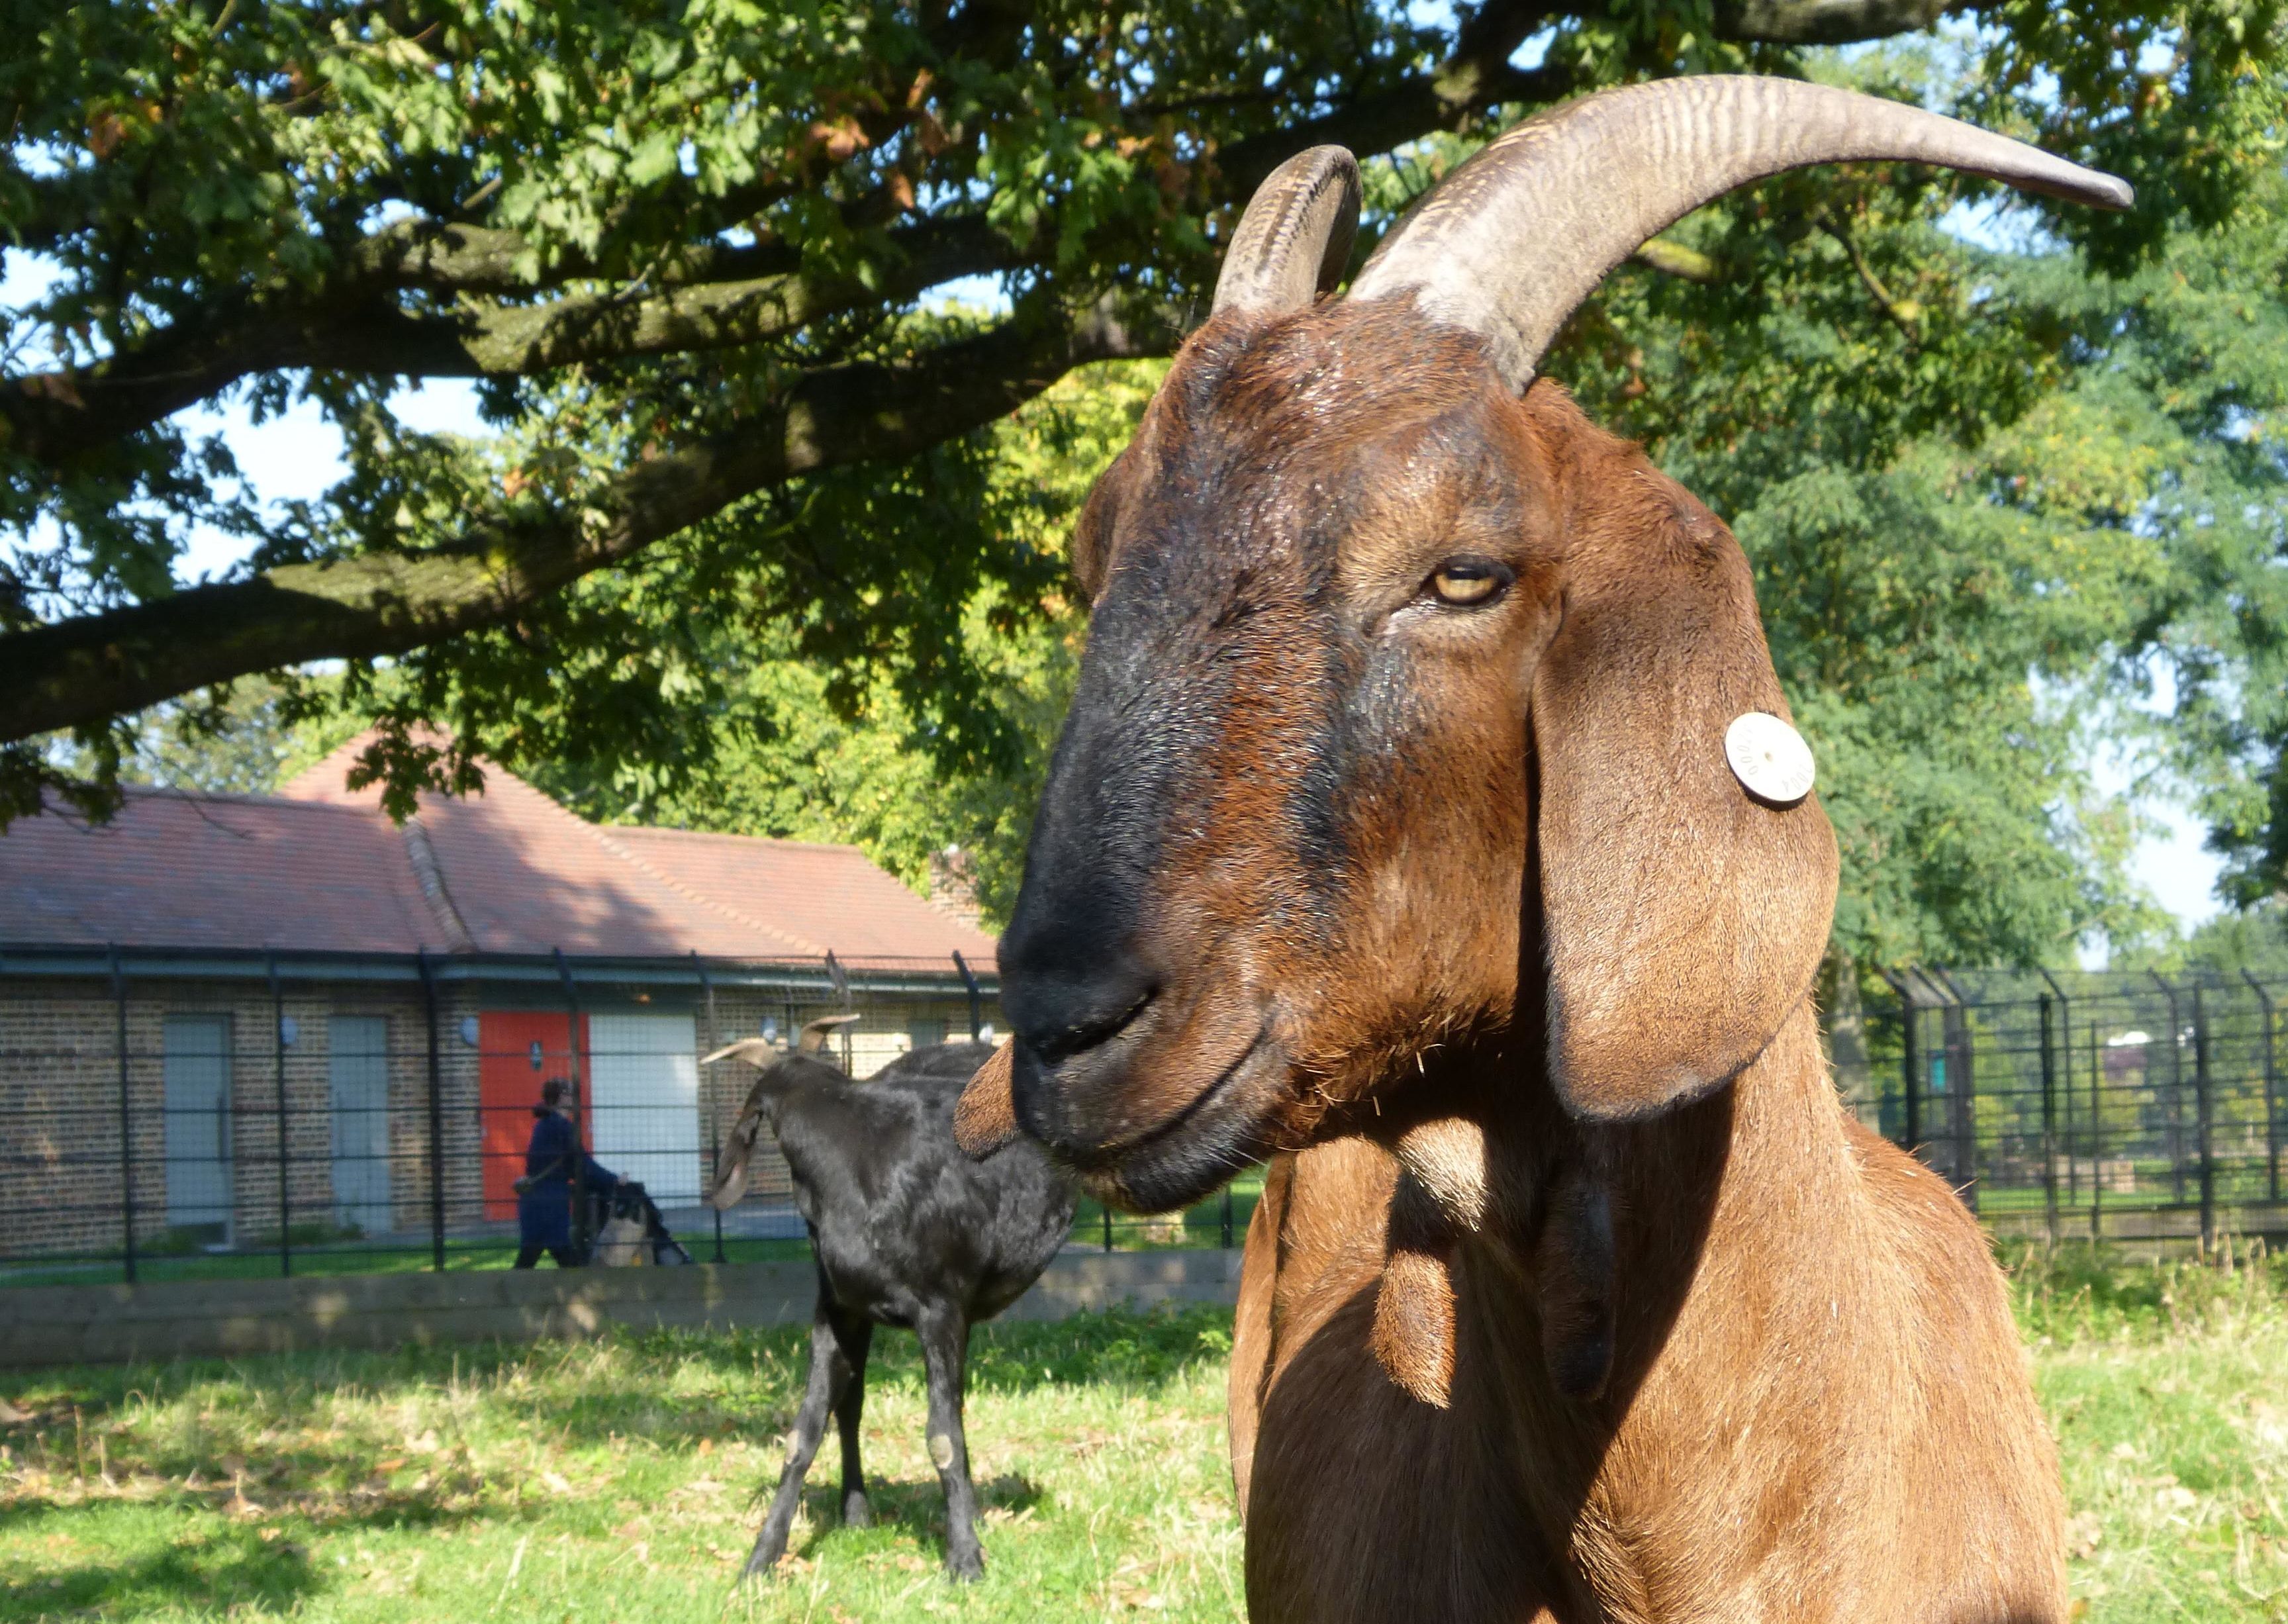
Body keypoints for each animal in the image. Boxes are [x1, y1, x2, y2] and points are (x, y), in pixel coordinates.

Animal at [706, 1017, 1077, 1581]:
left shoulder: (941, 1308)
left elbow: (943, 1437)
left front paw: (965, 1560)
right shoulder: (837, 1309)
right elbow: (803, 1434)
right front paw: (761, 1557)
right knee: (856, 1406)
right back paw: (860, 1512)